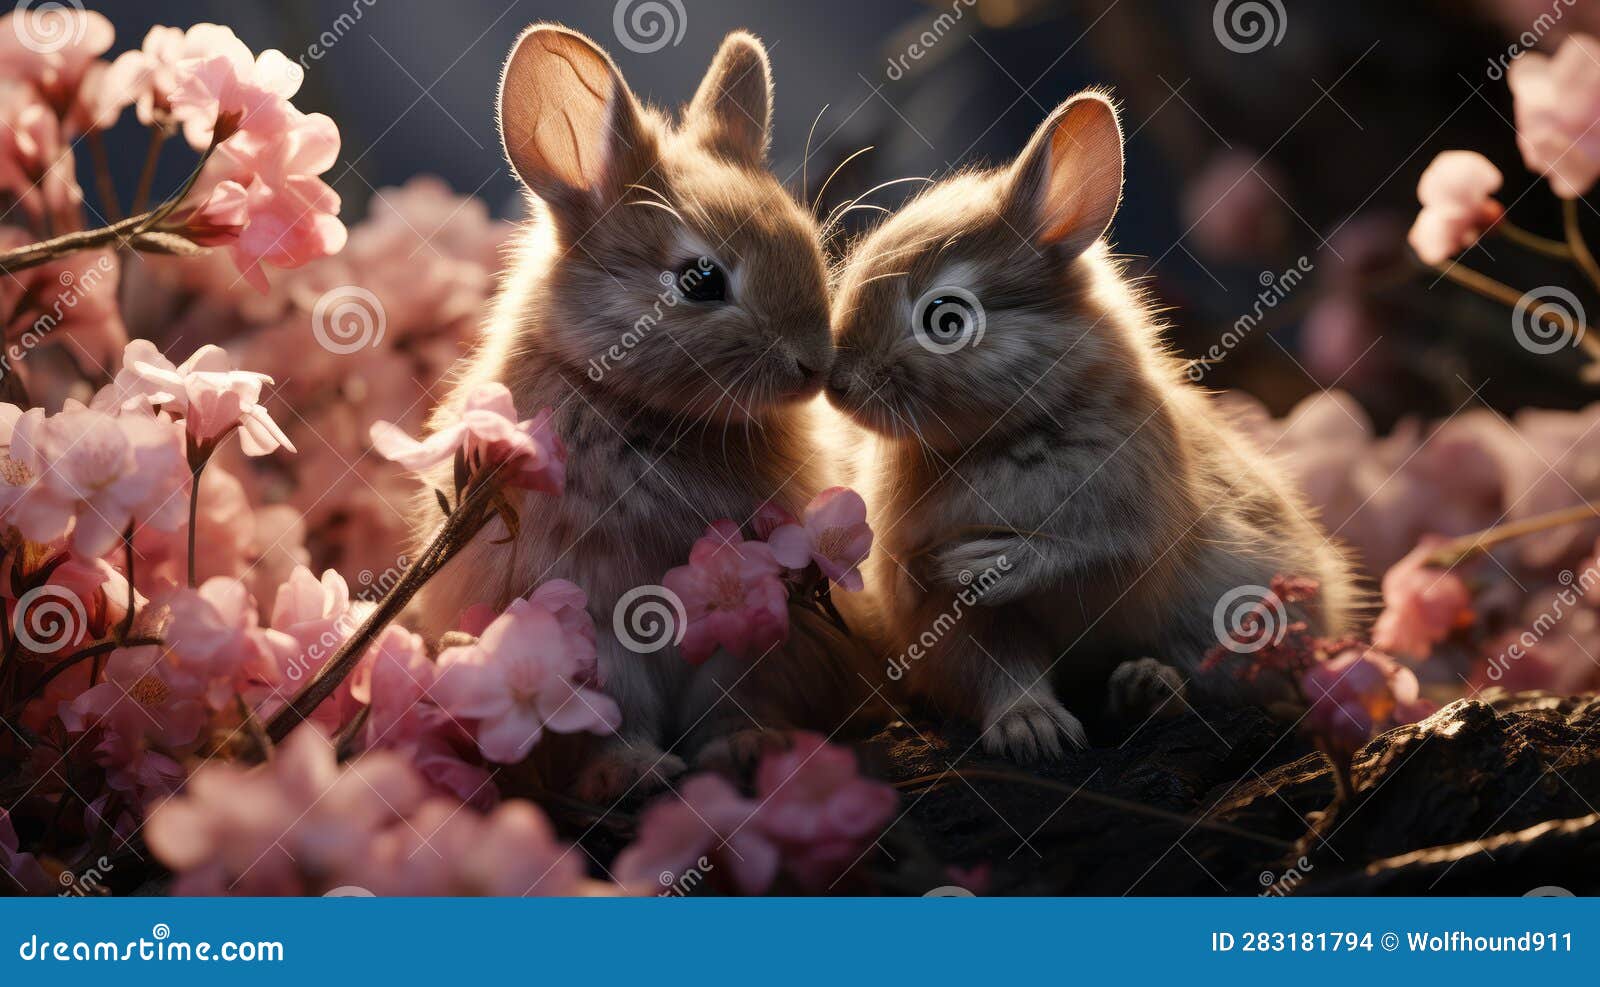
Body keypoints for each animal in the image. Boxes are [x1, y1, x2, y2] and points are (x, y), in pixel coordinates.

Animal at [413, 25, 864, 801]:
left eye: (809, 243)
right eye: (699, 280)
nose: (814, 363)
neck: (642, 411)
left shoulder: (758, 619)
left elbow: (735, 698)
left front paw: (748, 747)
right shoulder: (590, 617)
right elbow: (615, 710)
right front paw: (630, 771)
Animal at [824, 91, 1357, 763]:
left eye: (946, 320)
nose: (837, 383)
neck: (1004, 436)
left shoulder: (1131, 529)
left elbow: (1085, 557)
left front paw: (983, 562)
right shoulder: (958, 622)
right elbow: (999, 671)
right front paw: (1031, 730)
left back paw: (1149, 686)